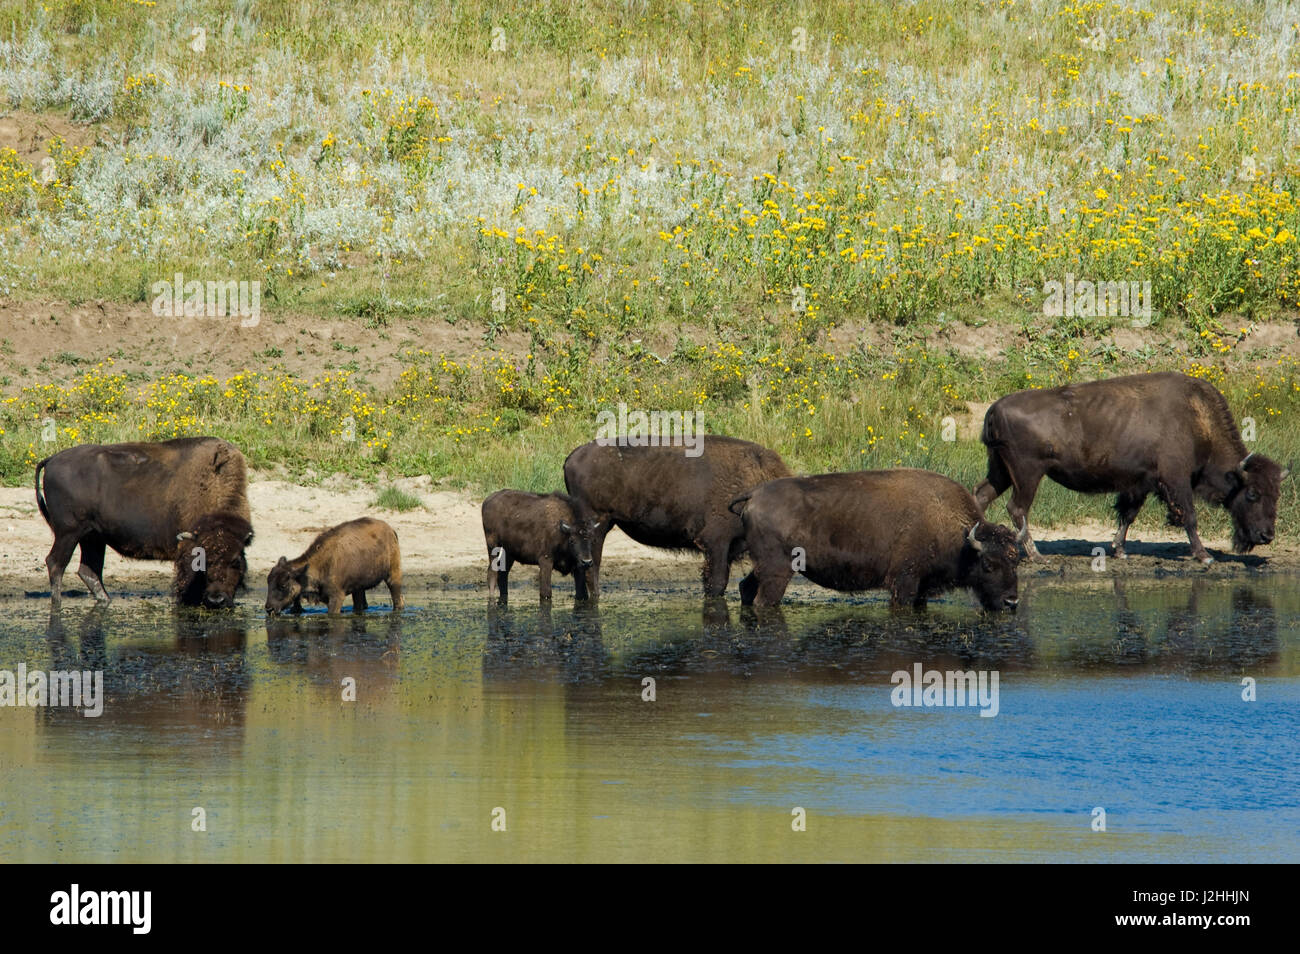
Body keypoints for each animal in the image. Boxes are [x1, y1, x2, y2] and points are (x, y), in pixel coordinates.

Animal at [35, 437, 253, 607]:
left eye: (236, 560)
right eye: (205, 561)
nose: (217, 600)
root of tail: (51, 460)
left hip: (92, 537)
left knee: (89, 570)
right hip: (69, 533)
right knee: (56, 564)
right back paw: (57, 604)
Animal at [265, 517, 404, 615]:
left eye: (283, 585)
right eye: (268, 582)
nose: (269, 609)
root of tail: (391, 530)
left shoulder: (336, 597)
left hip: (393, 575)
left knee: (397, 598)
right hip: (358, 588)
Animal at [731, 468, 1021, 611]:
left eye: (1015, 560)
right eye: (988, 564)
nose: (1012, 602)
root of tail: (754, 494)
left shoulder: (922, 588)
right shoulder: (904, 583)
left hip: (763, 567)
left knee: (746, 587)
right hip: (778, 570)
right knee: (763, 600)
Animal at [973, 372, 1288, 564]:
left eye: (1277, 495)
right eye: (1252, 494)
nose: (1266, 535)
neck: (1196, 420)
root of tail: (994, 409)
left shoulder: (1140, 484)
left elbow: (1127, 515)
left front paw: (1119, 551)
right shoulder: (1176, 481)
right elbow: (1189, 517)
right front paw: (1203, 556)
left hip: (1001, 471)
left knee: (981, 495)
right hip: (1027, 474)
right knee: (1017, 509)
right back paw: (1037, 555)